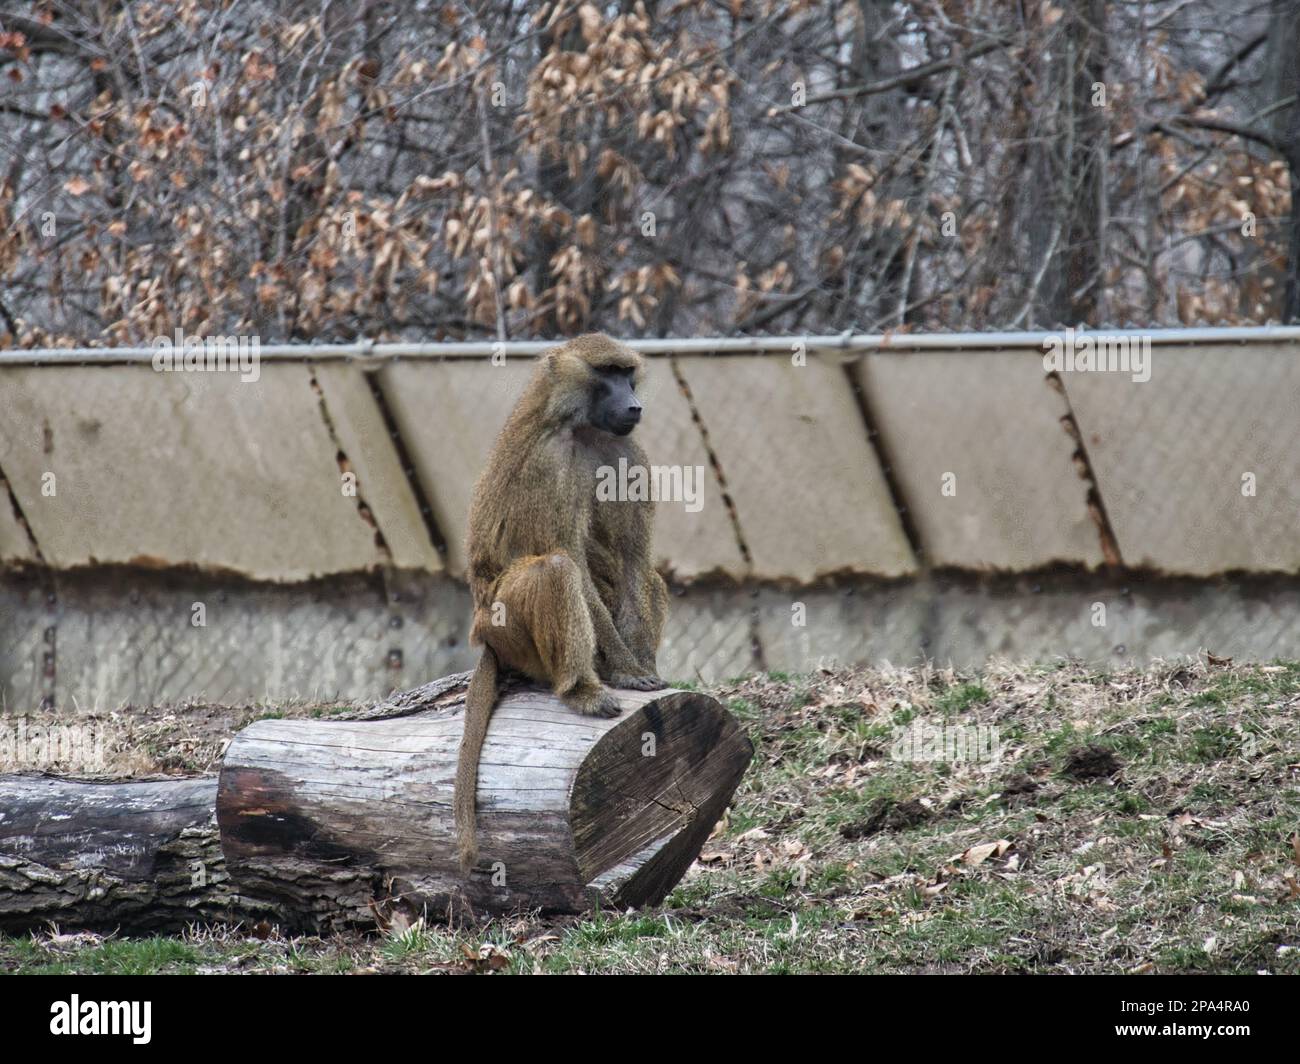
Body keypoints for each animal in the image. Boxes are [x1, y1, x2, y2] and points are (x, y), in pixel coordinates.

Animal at [454, 333, 670, 871]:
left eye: (627, 374)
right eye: (606, 374)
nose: (634, 405)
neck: (582, 427)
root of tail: (484, 635)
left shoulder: (626, 450)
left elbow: (634, 558)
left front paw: (641, 666)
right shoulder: (552, 463)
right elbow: (568, 553)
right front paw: (627, 671)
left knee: (645, 575)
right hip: (506, 625)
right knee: (553, 569)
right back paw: (582, 689)